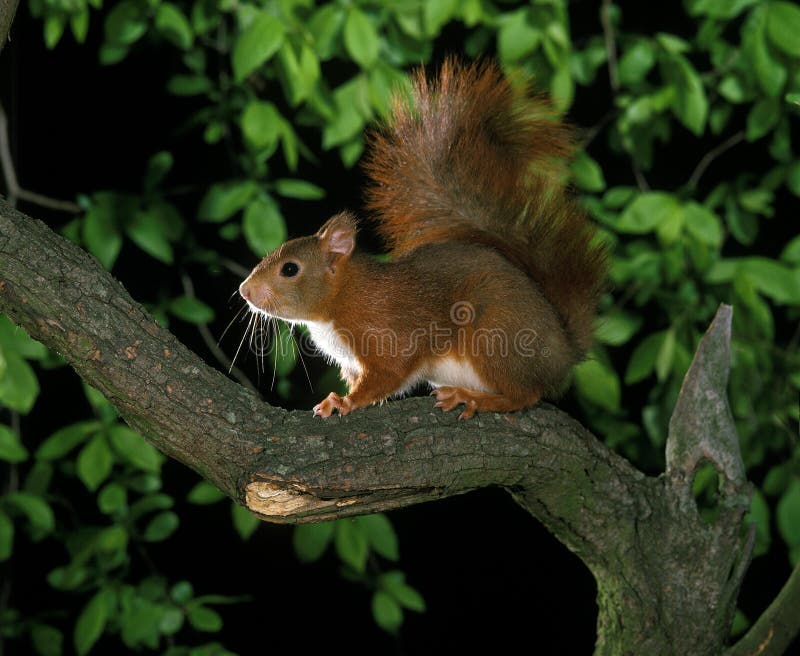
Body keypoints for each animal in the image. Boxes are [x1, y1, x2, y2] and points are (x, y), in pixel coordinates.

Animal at [238, 59, 607, 419]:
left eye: (290, 269)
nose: (244, 291)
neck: (342, 298)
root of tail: (563, 350)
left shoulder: (386, 332)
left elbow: (387, 374)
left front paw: (344, 402)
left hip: (494, 336)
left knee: (525, 394)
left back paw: (474, 399)